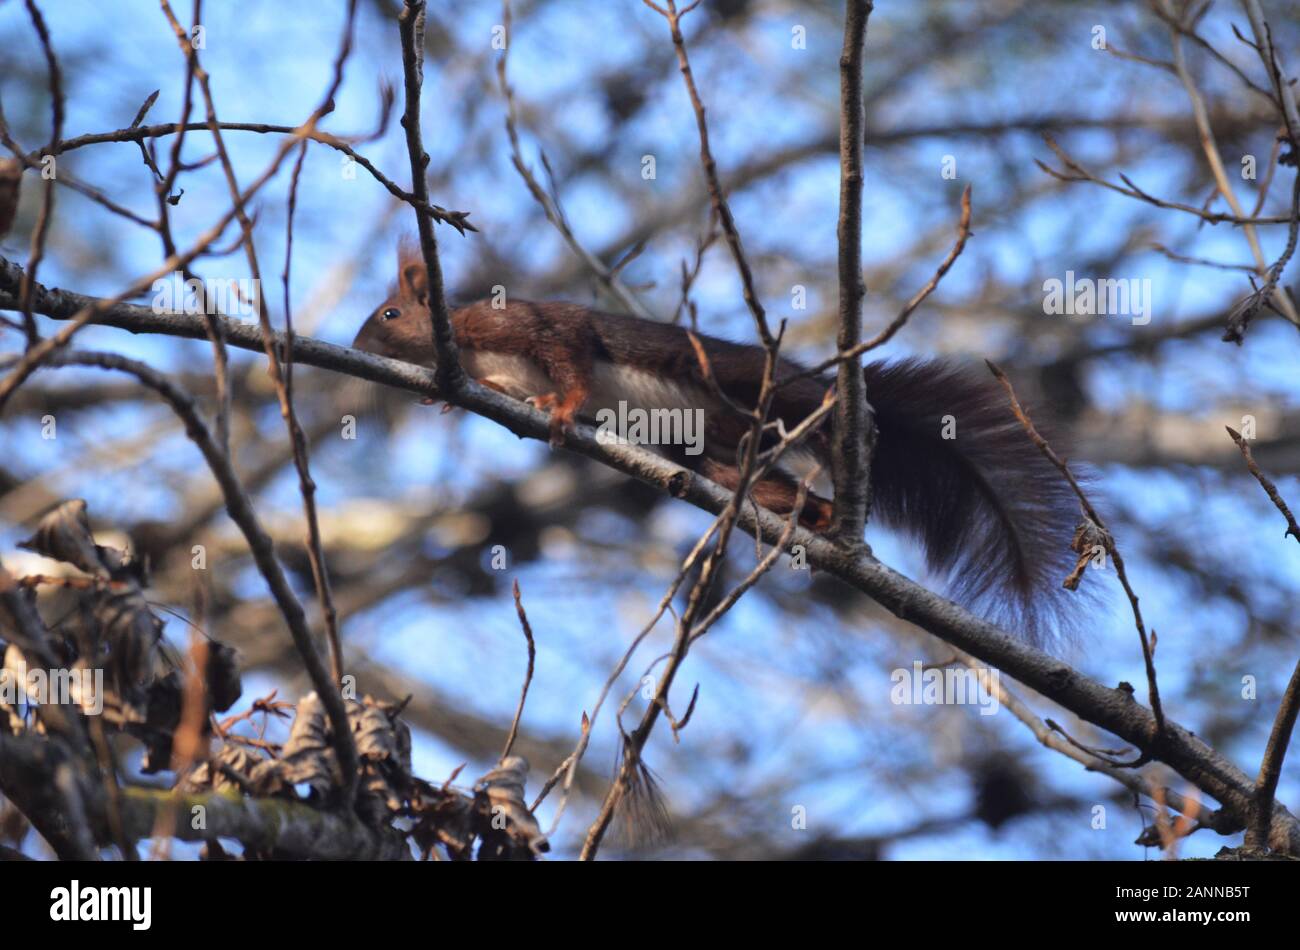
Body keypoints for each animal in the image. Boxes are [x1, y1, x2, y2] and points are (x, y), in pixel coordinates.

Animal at [353, 250, 1085, 642]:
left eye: (390, 313)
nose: (357, 344)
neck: (470, 342)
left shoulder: (534, 328)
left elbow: (573, 362)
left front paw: (559, 410)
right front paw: (451, 398)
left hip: (747, 386)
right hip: (722, 452)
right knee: (770, 485)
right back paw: (820, 519)